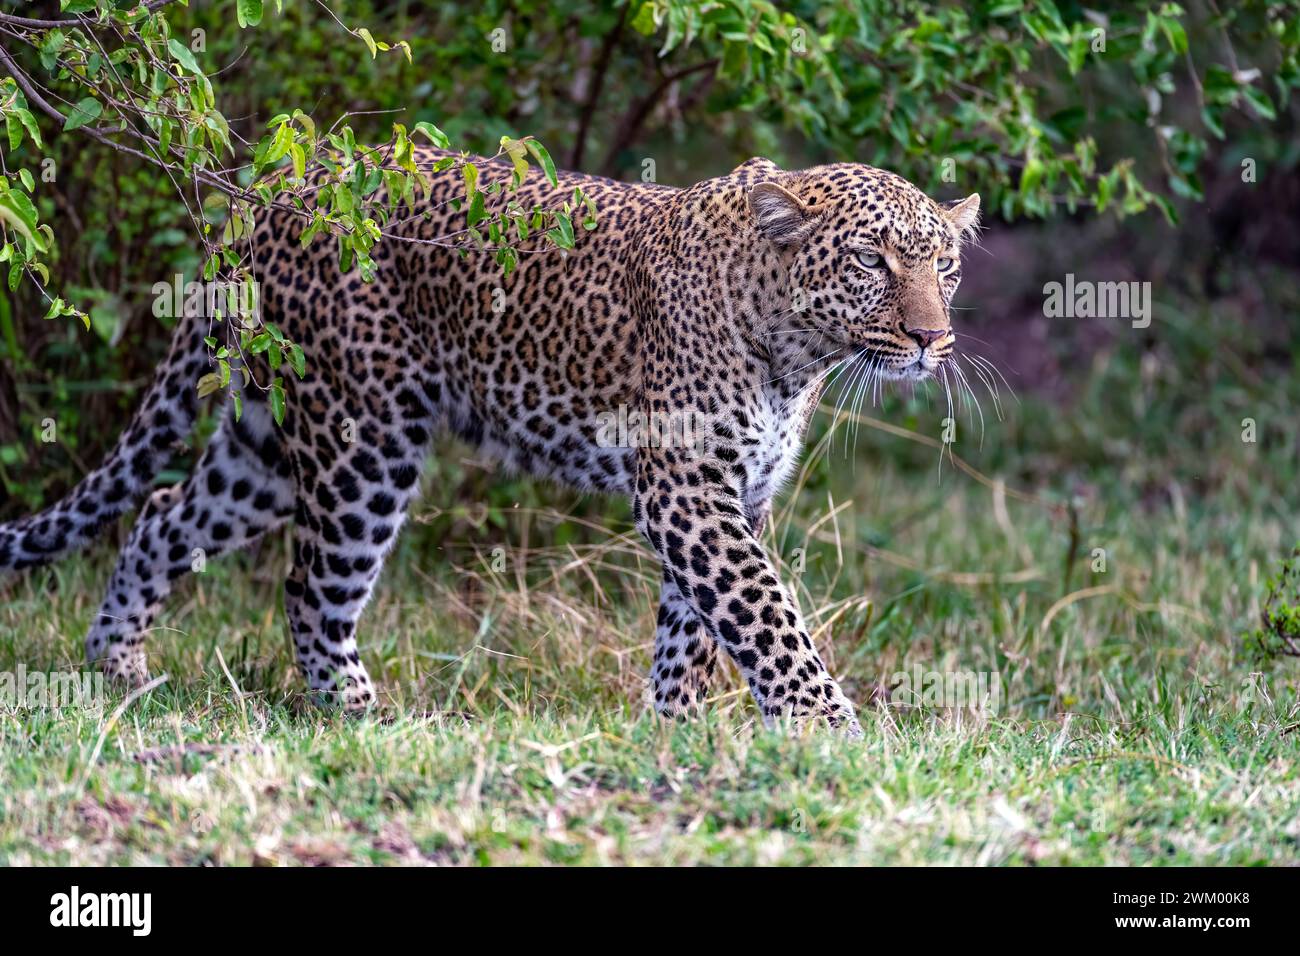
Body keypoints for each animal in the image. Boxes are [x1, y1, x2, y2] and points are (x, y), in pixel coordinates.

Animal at [0, 146, 979, 735]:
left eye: (944, 264)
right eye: (872, 262)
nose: (932, 339)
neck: (795, 348)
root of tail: (272, 191)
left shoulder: (738, 490)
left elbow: (697, 629)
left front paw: (675, 734)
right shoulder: (686, 485)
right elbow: (764, 612)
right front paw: (833, 734)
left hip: (266, 446)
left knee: (164, 513)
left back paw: (117, 667)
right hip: (366, 435)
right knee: (310, 586)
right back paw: (366, 718)